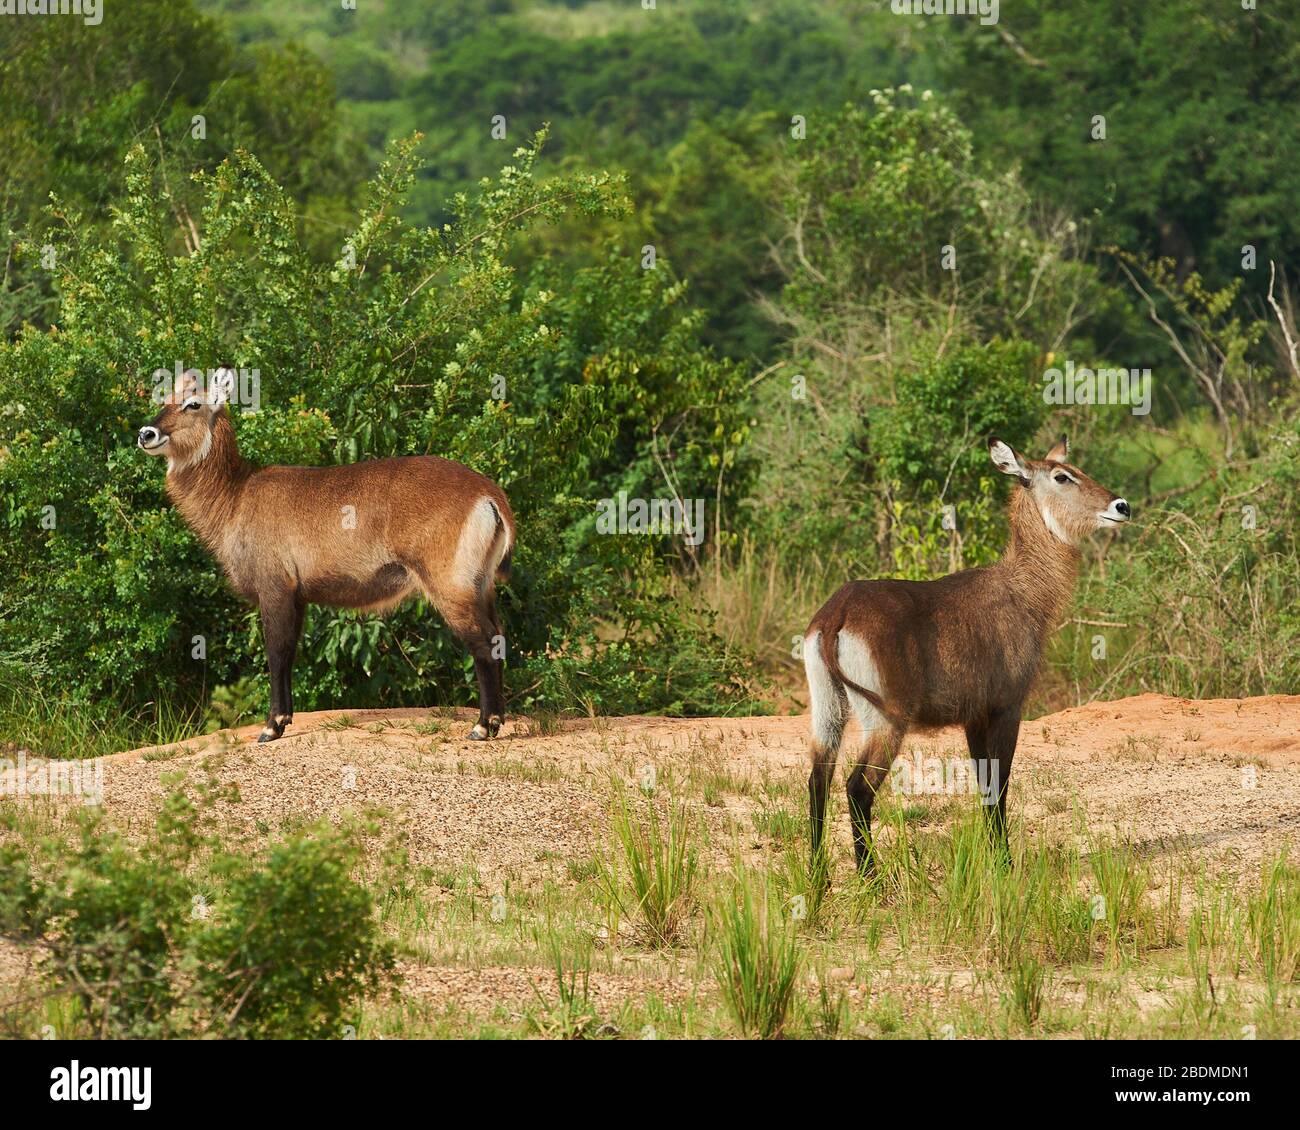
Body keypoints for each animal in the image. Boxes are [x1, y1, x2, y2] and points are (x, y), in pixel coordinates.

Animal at [137, 368, 515, 743]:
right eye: (164, 399)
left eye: (193, 403)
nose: (145, 433)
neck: (236, 496)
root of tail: (489, 493)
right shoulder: (297, 595)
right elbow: (290, 652)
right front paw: (285, 718)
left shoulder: (274, 587)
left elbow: (276, 651)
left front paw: (271, 726)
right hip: (480, 584)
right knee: (498, 635)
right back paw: (497, 720)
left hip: (450, 585)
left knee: (483, 642)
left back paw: (483, 726)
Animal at [804, 435, 1130, 875]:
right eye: (1063, 476)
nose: (1122, 506)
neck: (1023, 590)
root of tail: (838, 611)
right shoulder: (1007, 706)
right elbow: (999, 784)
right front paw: (1005, 865)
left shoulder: (973, 716)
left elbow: (983, 783)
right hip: (886, 719)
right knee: (857, 788)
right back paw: (872, 877)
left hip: (827, 708)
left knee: (818, 778)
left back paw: (818, 875)